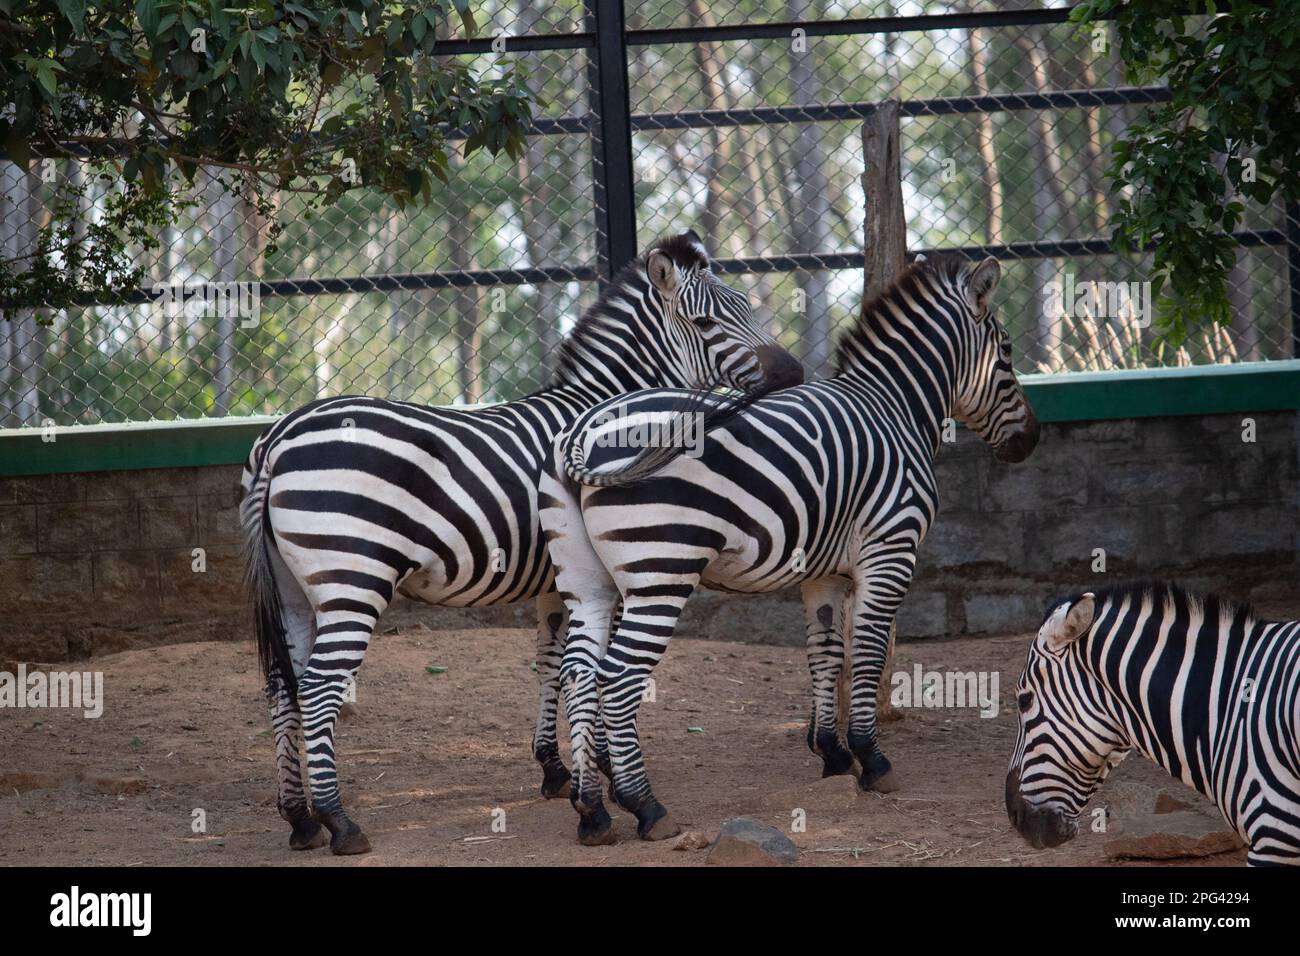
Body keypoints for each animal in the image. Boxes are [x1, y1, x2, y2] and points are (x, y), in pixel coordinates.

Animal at [240, 231, 804, 855]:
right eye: (705, 323)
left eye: (748, 307)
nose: (795, 373)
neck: (609, 409)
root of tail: (278, 437)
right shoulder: (605, 572)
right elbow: (587, 668)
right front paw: (604, 774)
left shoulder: (555, 583)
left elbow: (552, 664)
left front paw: (560, 770)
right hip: (352, 581)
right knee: (318, 688)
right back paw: (340, 821)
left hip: (293, 590)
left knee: (282, 686)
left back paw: (300, 818)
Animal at [537, 255, 1040, 844]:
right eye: (1006, 352)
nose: (1031, 440)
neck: (894, 405)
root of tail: (581, 434)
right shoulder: (890, 550)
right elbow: (868, 651)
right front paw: (872, 759)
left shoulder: (821, 571)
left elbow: (827, 652)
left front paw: (832, 754)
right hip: (659, 573)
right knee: (617, 679)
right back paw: (645, 806)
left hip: (588, 583)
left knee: (578, 674)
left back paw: (591, 810)